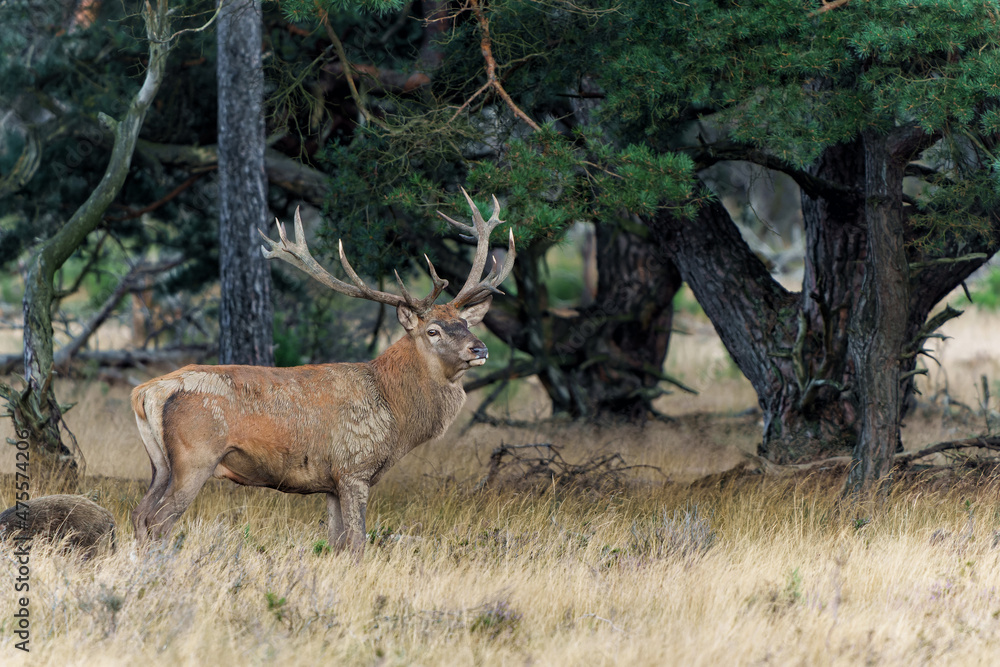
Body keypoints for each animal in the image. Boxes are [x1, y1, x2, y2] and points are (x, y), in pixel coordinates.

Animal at [131, 190, 514, 555]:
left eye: (465, 323)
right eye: (433, 331)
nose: (480, 349)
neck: (396, 414)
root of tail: (146, 392)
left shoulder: (330, 482)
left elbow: (336, 541)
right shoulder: (354, 468)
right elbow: (358, 543)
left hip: (160, 463)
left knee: (139, 514)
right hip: (195, 456)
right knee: (159, 520)